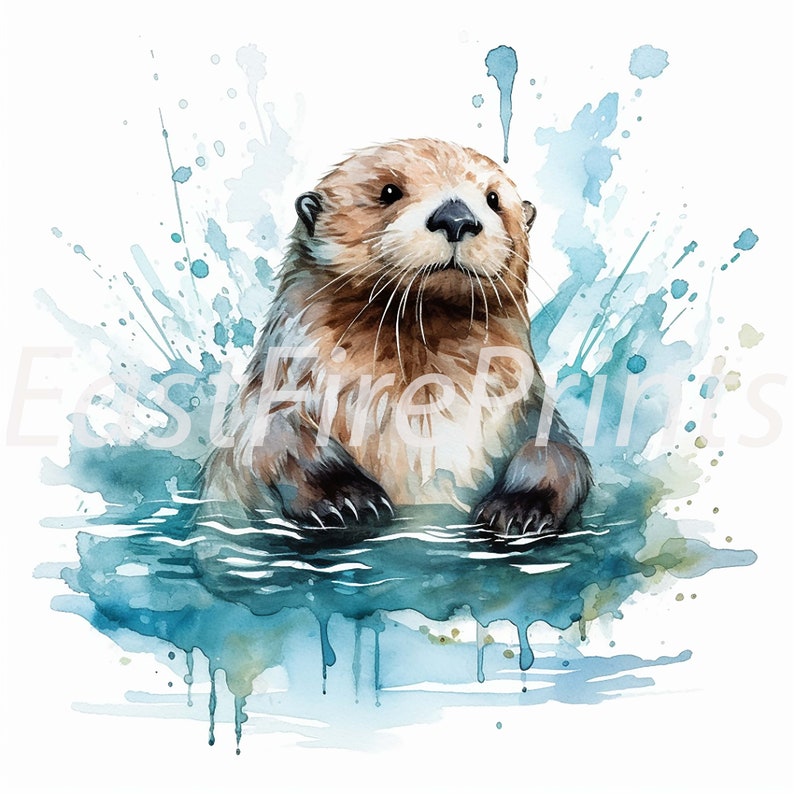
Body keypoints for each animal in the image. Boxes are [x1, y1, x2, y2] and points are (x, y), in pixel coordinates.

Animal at [201, 139, 590, 536]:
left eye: (493, 198)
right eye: (389, 192)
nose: (456, 218)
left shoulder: (526, 402)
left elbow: (557, 449)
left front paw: (519, 510)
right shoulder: (280, 387)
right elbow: (272, 438)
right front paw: (347, 500)